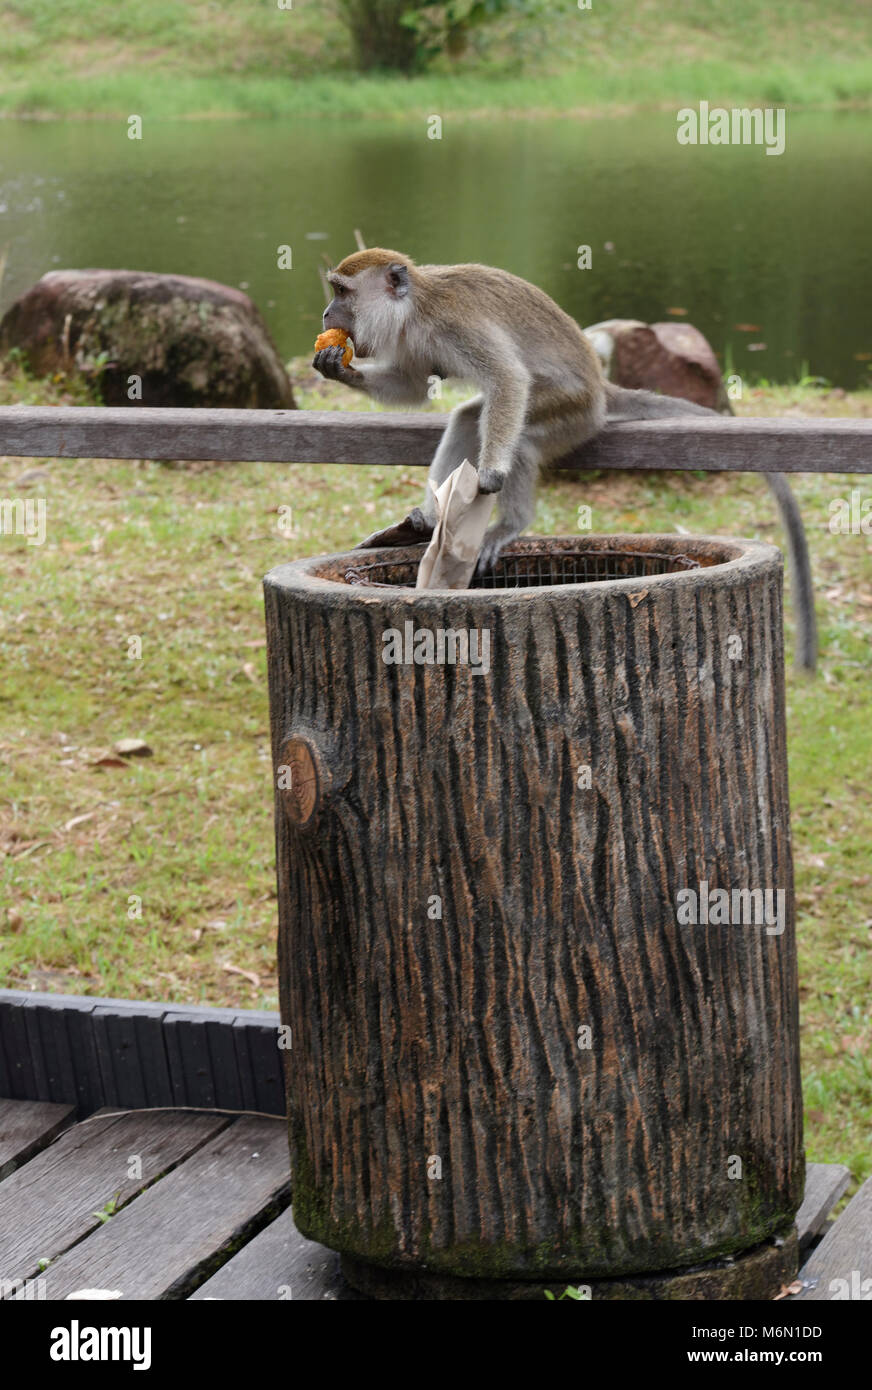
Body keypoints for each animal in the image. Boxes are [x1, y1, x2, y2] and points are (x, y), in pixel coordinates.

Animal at [313, 249, 816, 670]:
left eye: (342, 292)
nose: (325, 314)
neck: (414, 310)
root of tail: (601, 389)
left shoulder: (454, 325)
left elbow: (507, 380)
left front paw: (490, 474)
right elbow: (414, 387)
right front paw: (339, 368)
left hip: (572, 412)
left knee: (516, 432)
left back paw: (509, 521)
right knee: (469, 417)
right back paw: (426, 521)